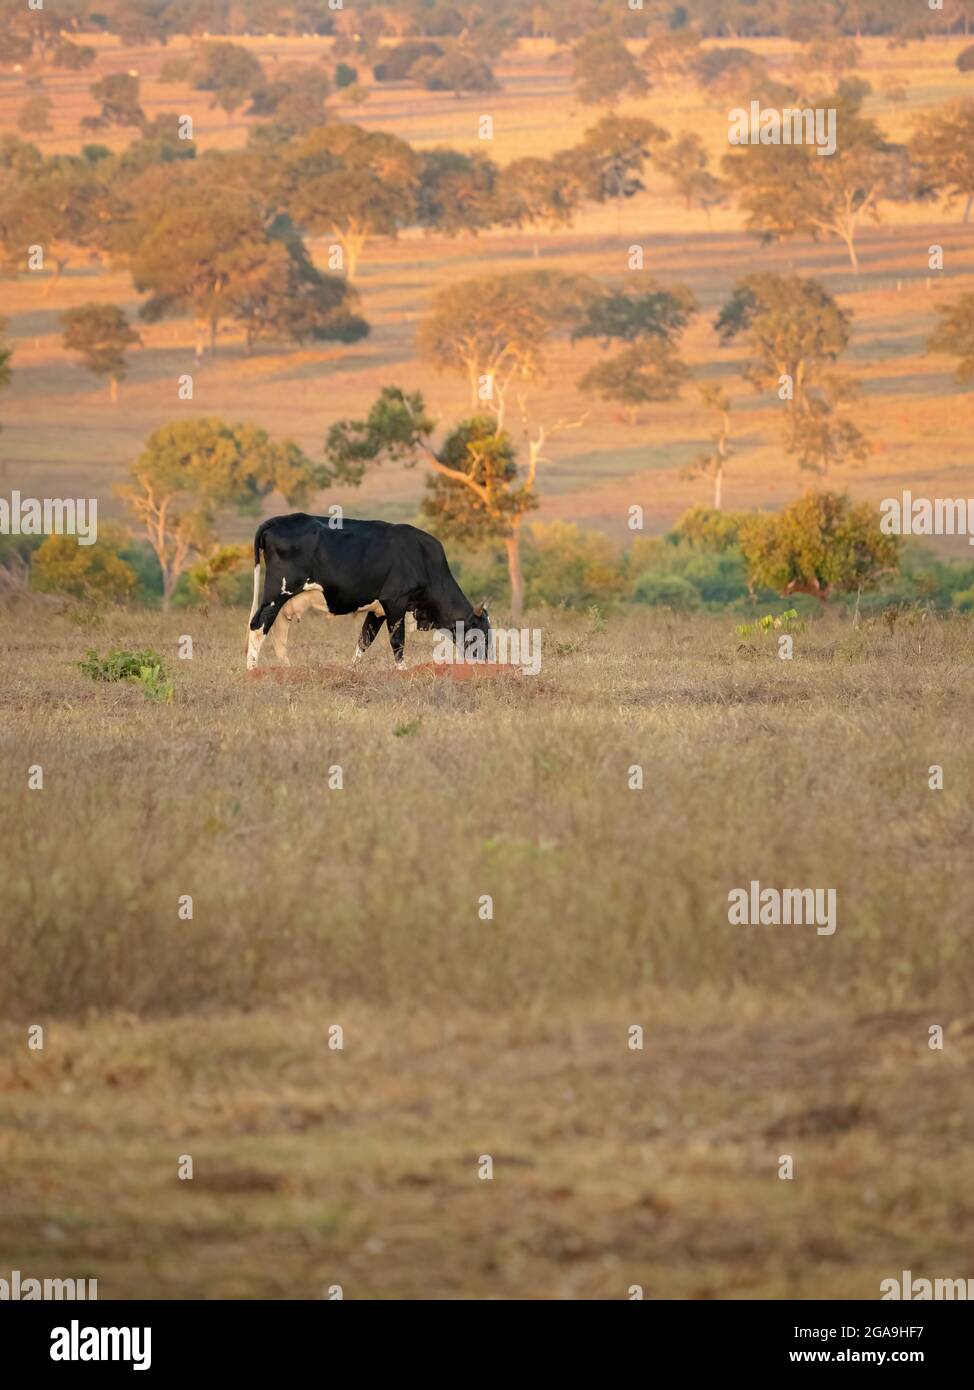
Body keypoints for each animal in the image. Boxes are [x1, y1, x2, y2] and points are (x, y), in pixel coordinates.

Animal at [246, 513, 491, 671]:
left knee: (278, 635)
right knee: (258, 625)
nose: (489, 663)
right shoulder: (395, 601)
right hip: (277, 593)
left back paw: (286, 669)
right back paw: (252, 670)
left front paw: (351, 669)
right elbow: (397, 640)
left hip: (285, 601)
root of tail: (275, 521)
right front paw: (403, 670)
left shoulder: (378, 609)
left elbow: (364, 640)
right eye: (480, 634)